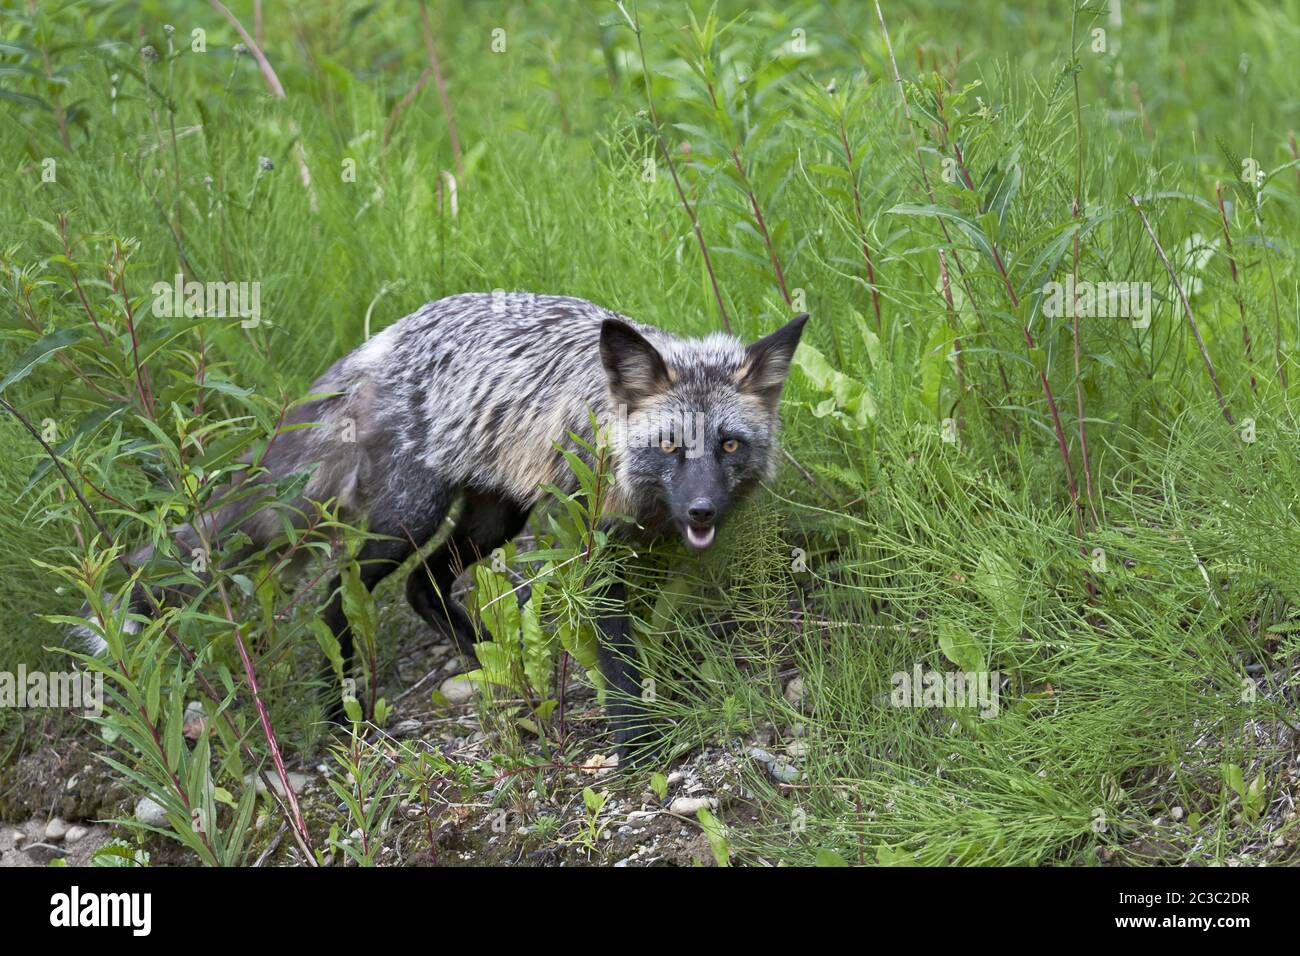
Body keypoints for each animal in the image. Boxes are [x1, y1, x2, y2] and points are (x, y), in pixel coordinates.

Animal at [75, 292, 808, 760]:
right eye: (669, 447)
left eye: (729, 446)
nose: (702, 511)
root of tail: (381, 342)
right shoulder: (594, 548)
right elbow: (621, 660)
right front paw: (641, 746)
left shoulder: (644, 551)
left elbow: (654, 638)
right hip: (411, 515)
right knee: (338, 591)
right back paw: (341, 711)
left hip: (494, 517)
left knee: (419, 587)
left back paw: (492, 663)